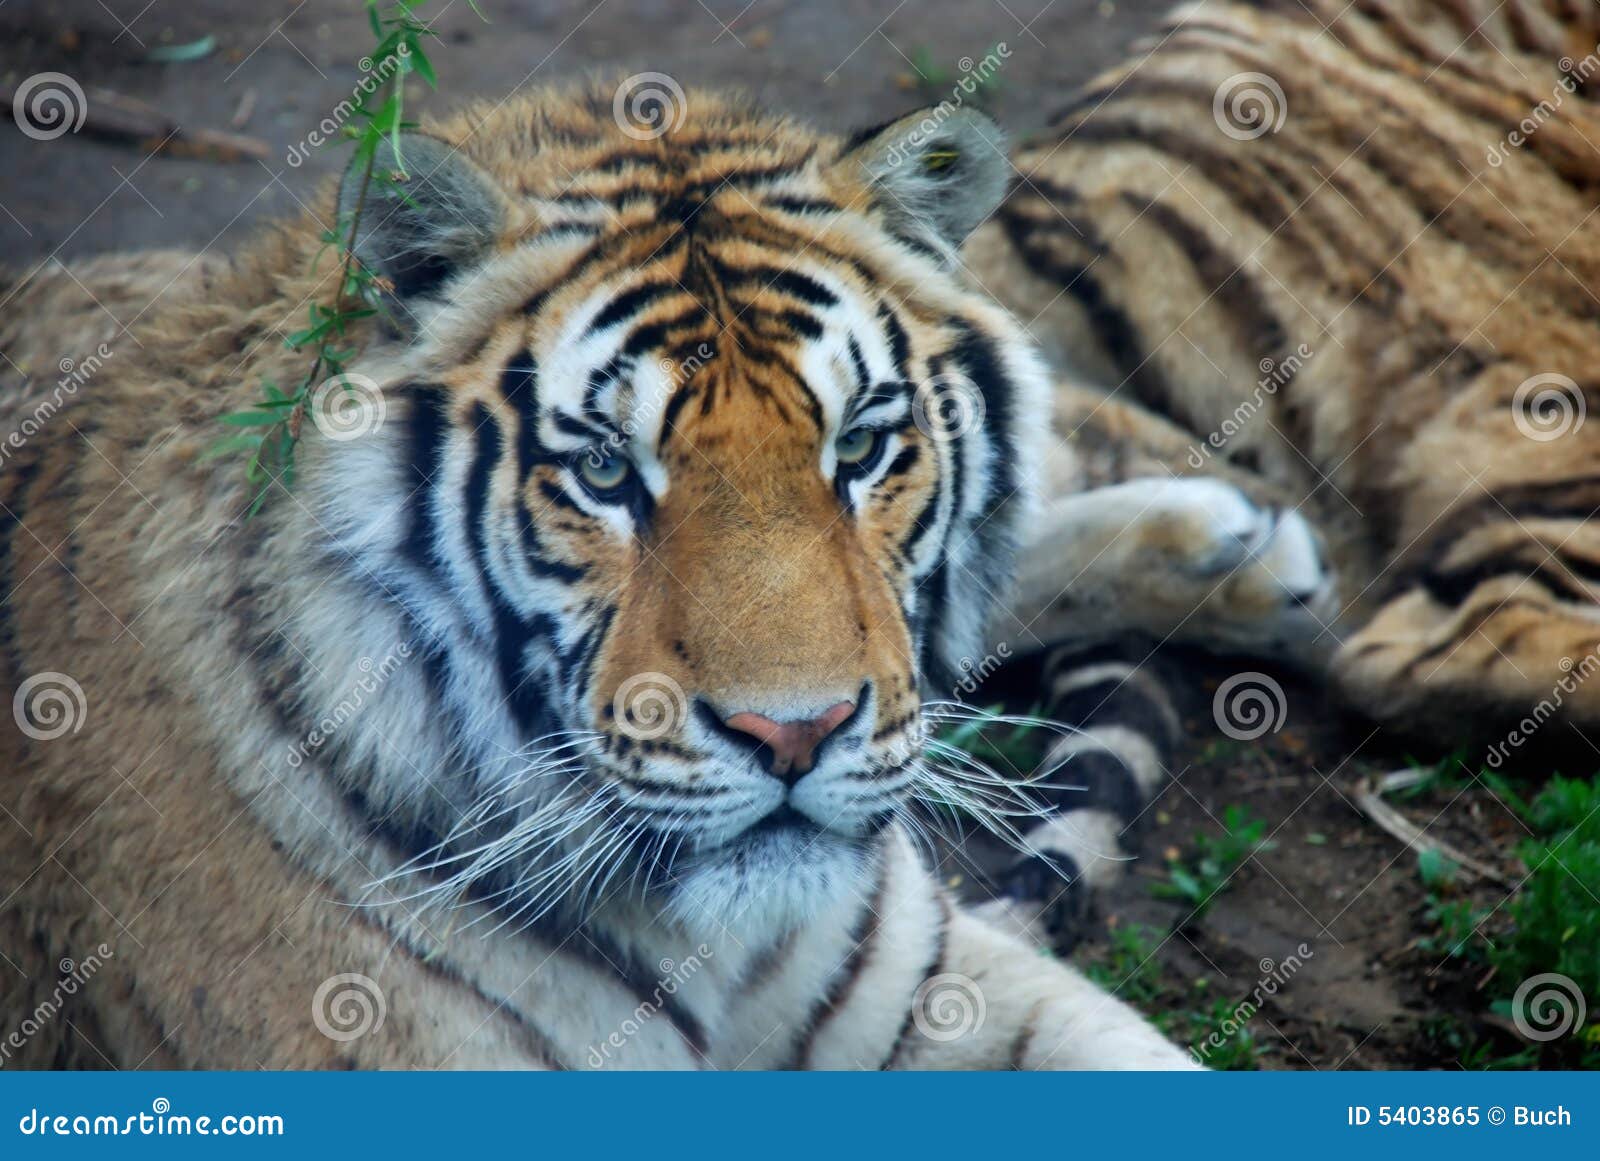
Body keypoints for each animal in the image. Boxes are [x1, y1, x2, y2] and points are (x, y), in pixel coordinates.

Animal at [0, 82, 1262, 1069]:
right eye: (606, 473)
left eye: (858, 449)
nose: (794, 734)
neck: (714, 954)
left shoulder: (925, 976)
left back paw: (1242, 545)